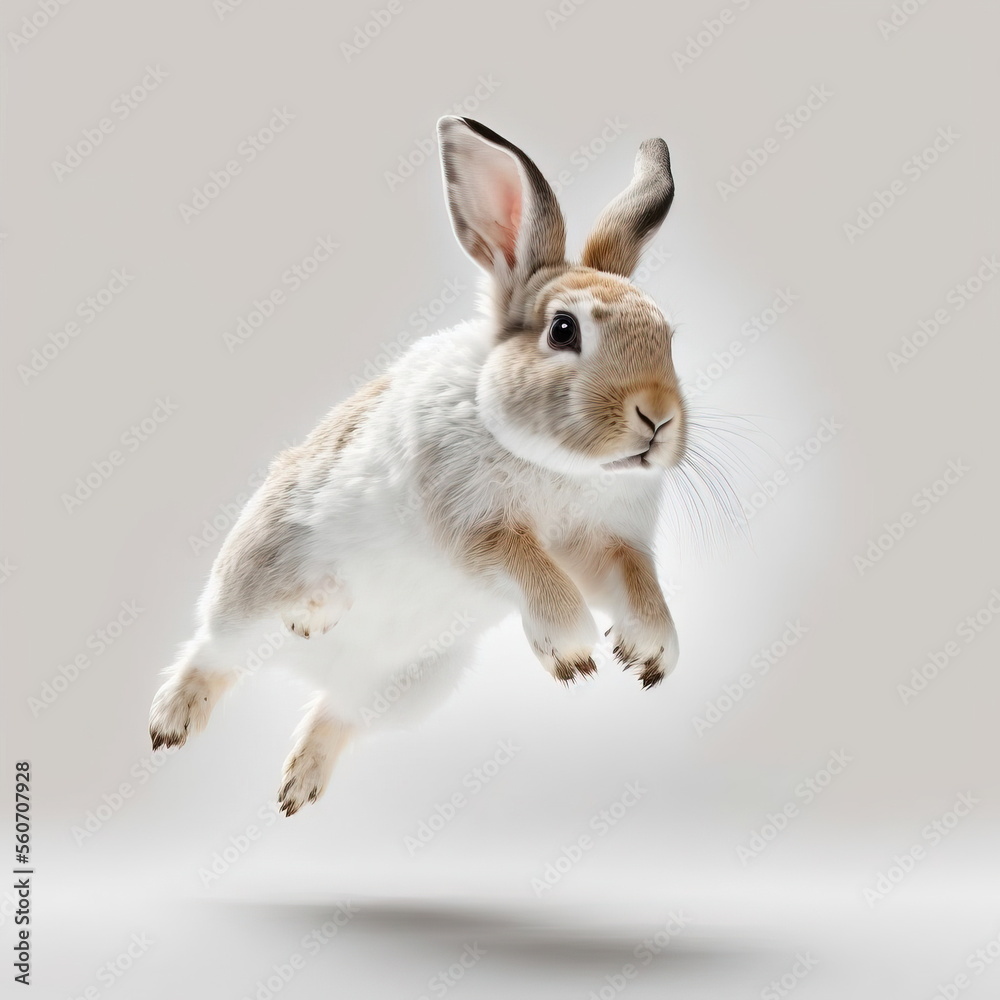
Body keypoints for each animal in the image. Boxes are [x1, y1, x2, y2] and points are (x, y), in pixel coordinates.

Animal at [149, 116, 686, 817]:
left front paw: (651, 652)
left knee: (336, 715)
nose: (658, 417)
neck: (562, 466)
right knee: (212, 655)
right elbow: (527, 565)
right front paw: (573, 651)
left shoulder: (606, 546)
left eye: (670, 336)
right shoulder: (469, 525)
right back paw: (184, 713)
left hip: (410, 687)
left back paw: (300, 788)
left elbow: (636, 581)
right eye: (564, 330)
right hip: (250, 587)